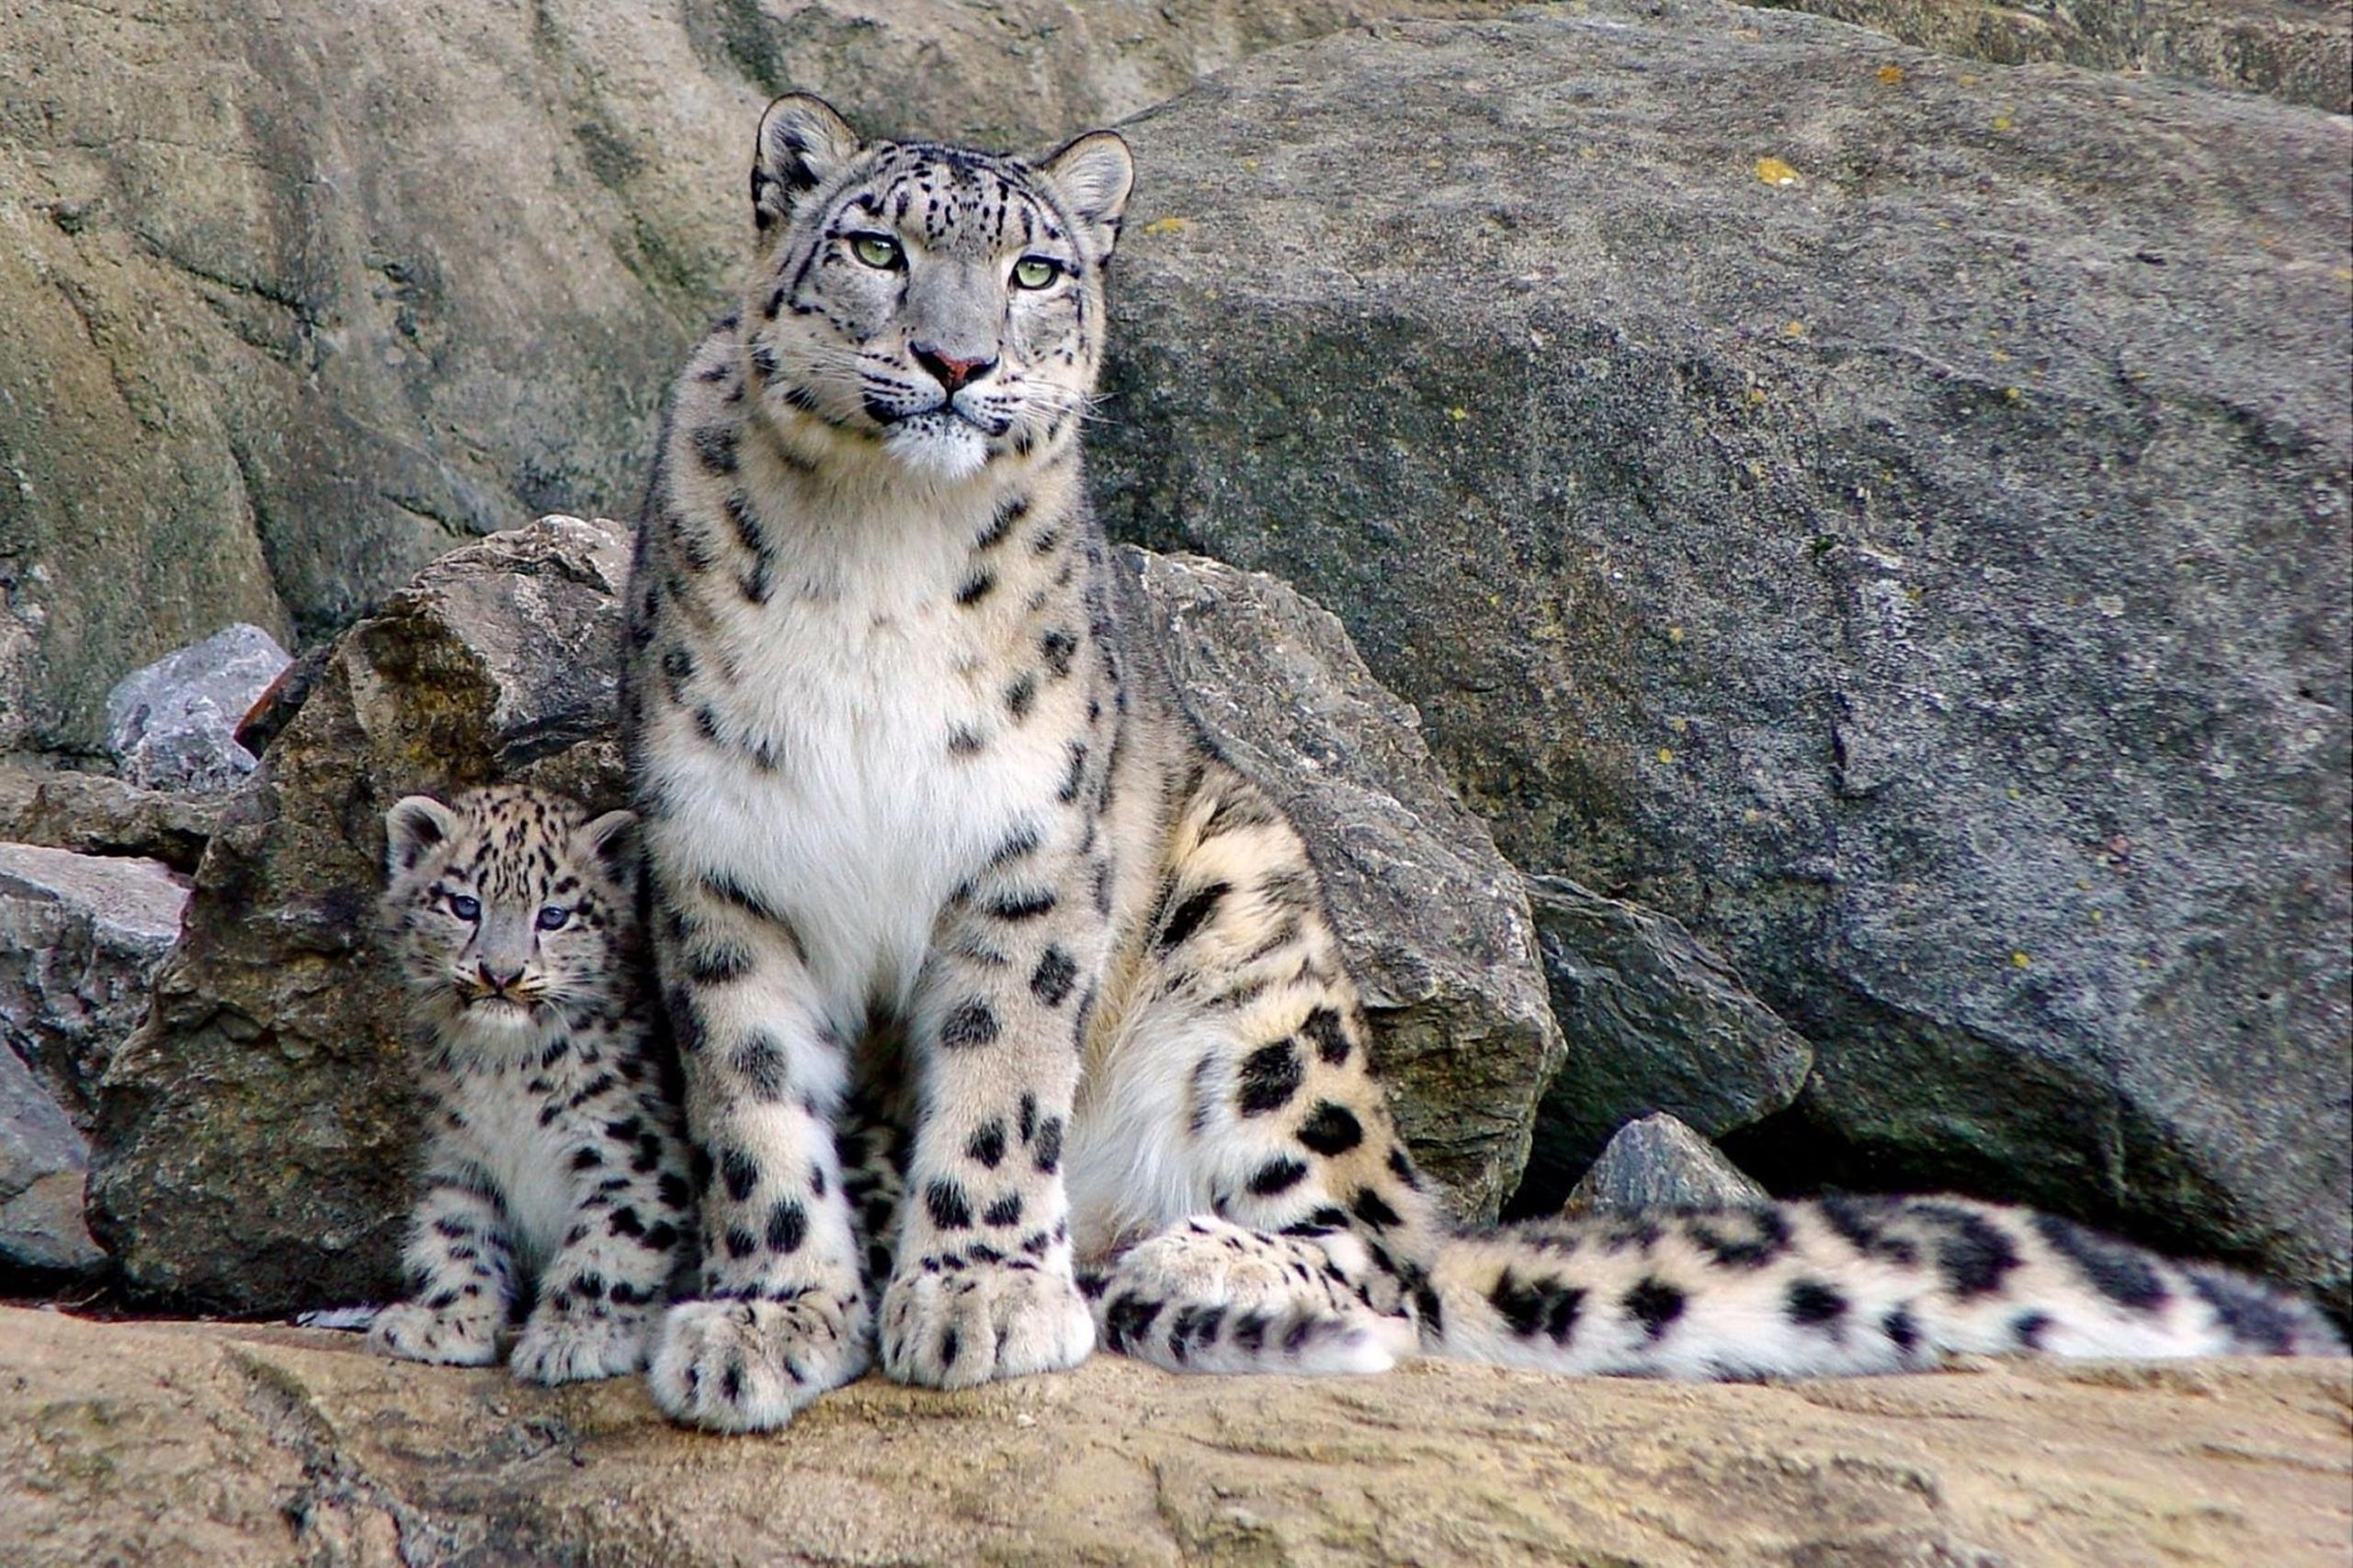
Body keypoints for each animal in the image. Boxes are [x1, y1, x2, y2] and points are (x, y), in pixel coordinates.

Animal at [368, 785, 695, 1384]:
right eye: (465, 905)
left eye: (554, 915)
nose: (501, 974)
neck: (504, 1071)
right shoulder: (460, 1154)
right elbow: (456, 1234)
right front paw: (445, 1321)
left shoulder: (631, 1155)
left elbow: (609, 1246)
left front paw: (575, 1339)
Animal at [619, 94, 2345, 1431]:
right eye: (878, 249)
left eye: (1036, 267)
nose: (956, 363)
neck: (876, 558)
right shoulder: (720, 859)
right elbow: (754, 1106)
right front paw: (763, 1317)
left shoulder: (1030, 861)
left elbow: (995, 1087)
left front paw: (977, 1294)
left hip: (1255, 939)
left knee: (1380, 1252)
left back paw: (1195, 1260)